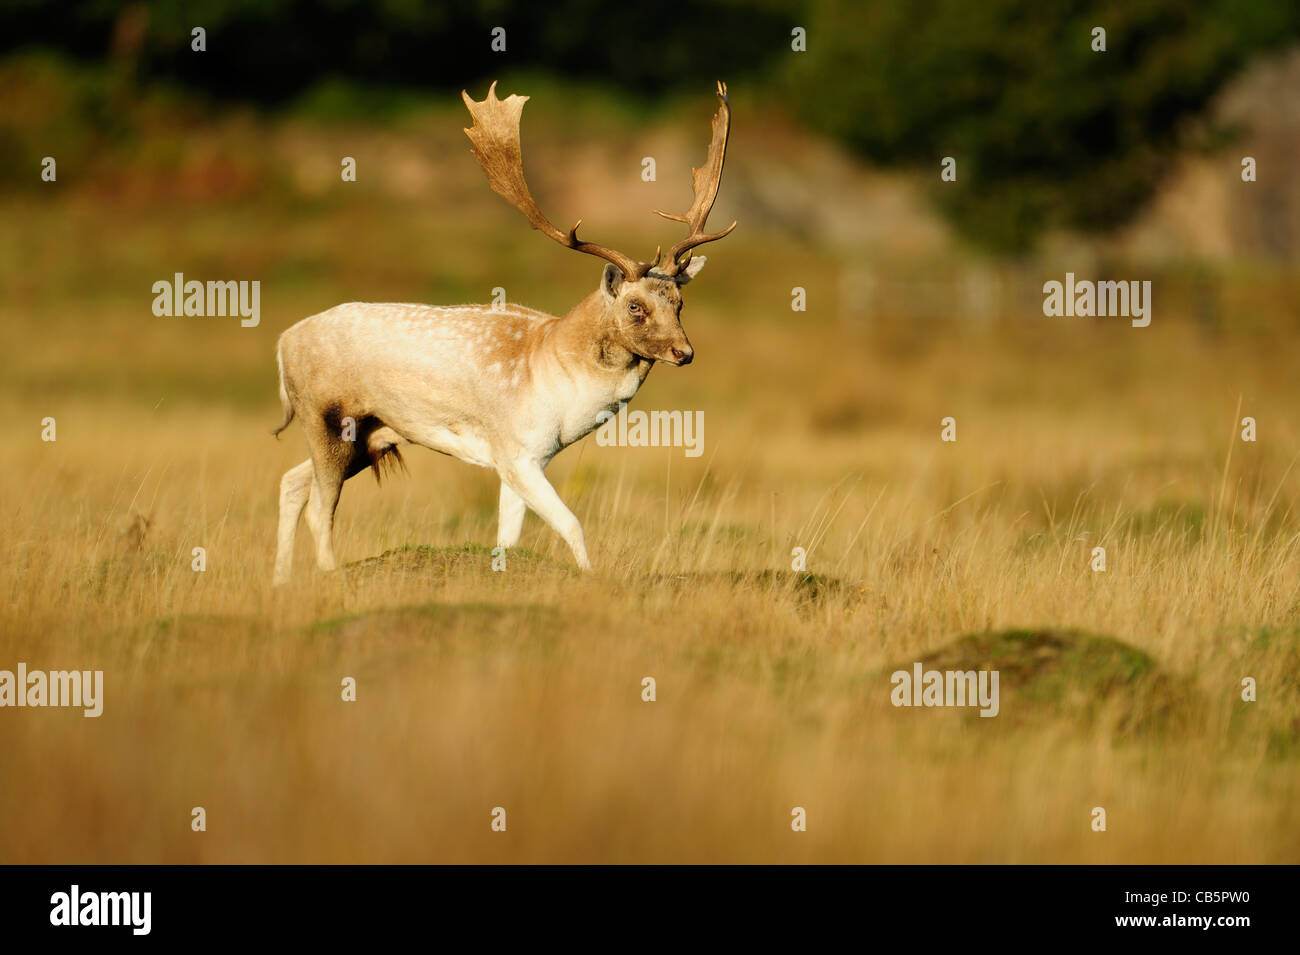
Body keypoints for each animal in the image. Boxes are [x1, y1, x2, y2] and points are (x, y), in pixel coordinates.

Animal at [271, 81, 735, 585]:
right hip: (328, 419)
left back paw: (280, 580)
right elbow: (571, 524)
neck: (552, 372)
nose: (684, 351)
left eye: (679, 302)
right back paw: (329, 574)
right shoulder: (514, 452)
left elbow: (508, 537)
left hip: (370, 436)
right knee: (319, 506)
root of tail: (282, 343)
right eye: (635, 306)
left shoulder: (530, 459)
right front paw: (590, 578)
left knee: (292, 482)